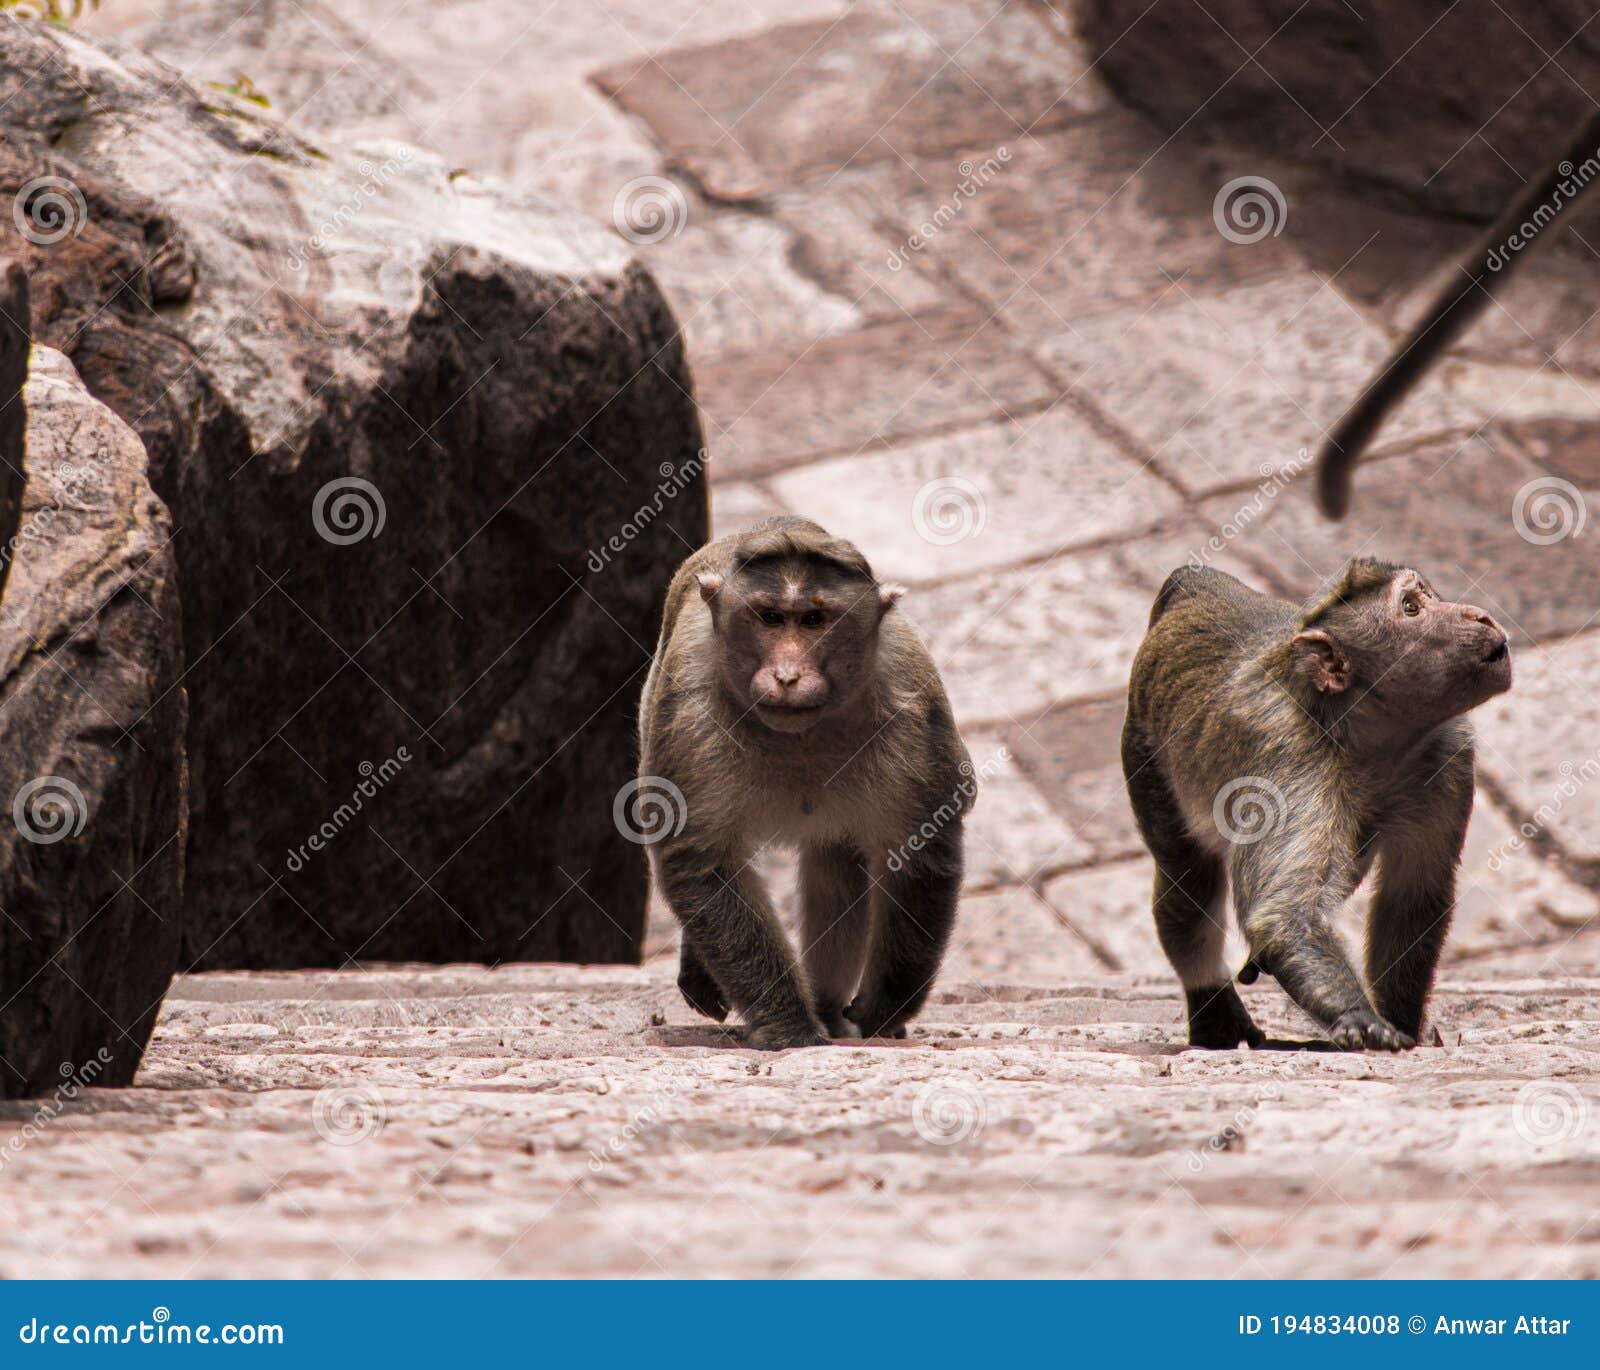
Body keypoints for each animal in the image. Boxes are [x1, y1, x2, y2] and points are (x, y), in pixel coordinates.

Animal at [637, 516, 973, 1050]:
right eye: (771, 618)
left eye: (814, 621)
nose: (787, 675)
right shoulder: (688, 713)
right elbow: (701, 858)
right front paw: (789, 1024)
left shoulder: (915, 711)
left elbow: (919, 852)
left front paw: (884, 1007)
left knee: (836, 864)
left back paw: (830, 1007)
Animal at [1121, 558, 1512, 1051]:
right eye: (1411, 608)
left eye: (1426, 594)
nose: (1478, 615)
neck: (1359, 732)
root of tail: (1194, 585)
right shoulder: (1292, 756)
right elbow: (1286, 913)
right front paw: (1359, 1017)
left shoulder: (1448, 755)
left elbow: (1411, 897)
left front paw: (1400, 1022)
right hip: (1144, 750)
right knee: (1186, 882)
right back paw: (1211, 1004)